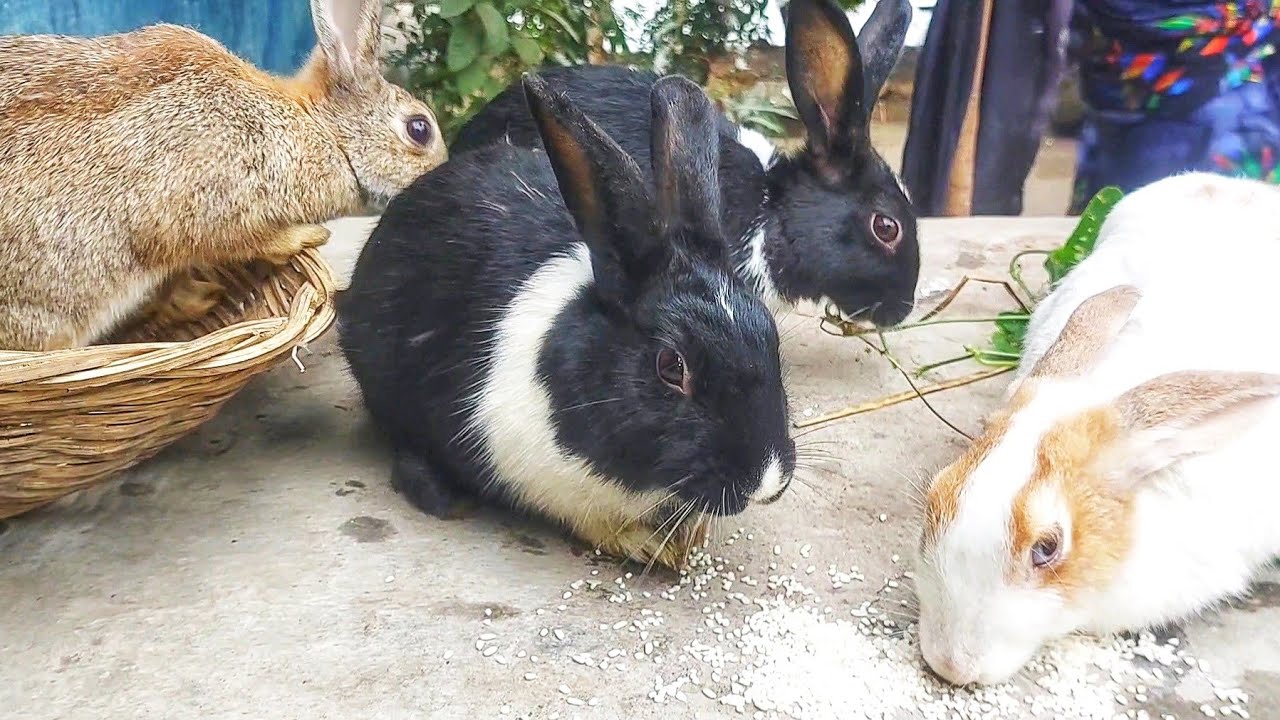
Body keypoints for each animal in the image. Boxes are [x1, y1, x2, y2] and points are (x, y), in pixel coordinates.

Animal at [0, 0, 446, 352]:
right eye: (419, 128)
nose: (440, 180)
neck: (323, 132)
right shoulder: (209, 201)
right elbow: (236, 240)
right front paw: (305, 237)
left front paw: (199, 296)